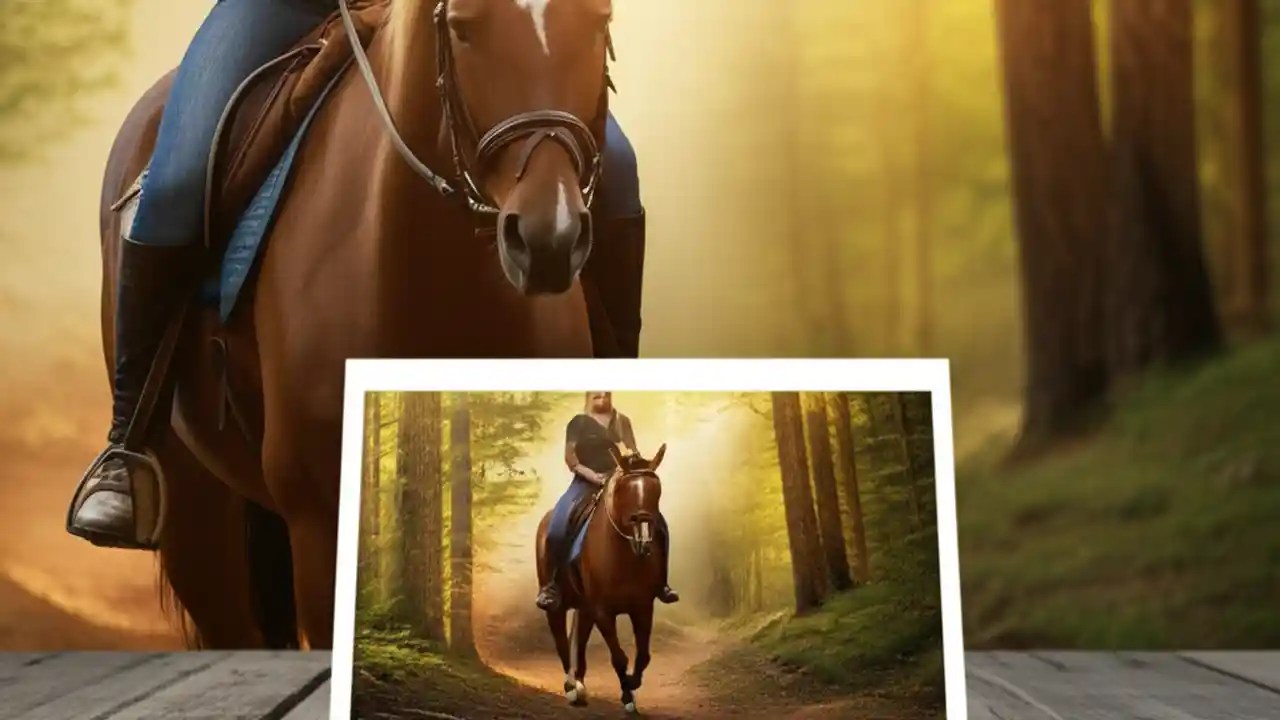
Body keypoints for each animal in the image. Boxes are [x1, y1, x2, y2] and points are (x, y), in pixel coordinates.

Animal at [535, 443, 668, 713]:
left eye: (656, 491)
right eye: (625, 492)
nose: (644, 541)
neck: (626, 556)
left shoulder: (642, 606)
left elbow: (643, 655)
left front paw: (632, 684)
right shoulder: (603, 610)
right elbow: (619, 657)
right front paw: (627, 696)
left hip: (585, 608)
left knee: (579, 641)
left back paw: (580, 685)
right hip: (558, 605)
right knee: (561, 642)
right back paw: (571, 688)